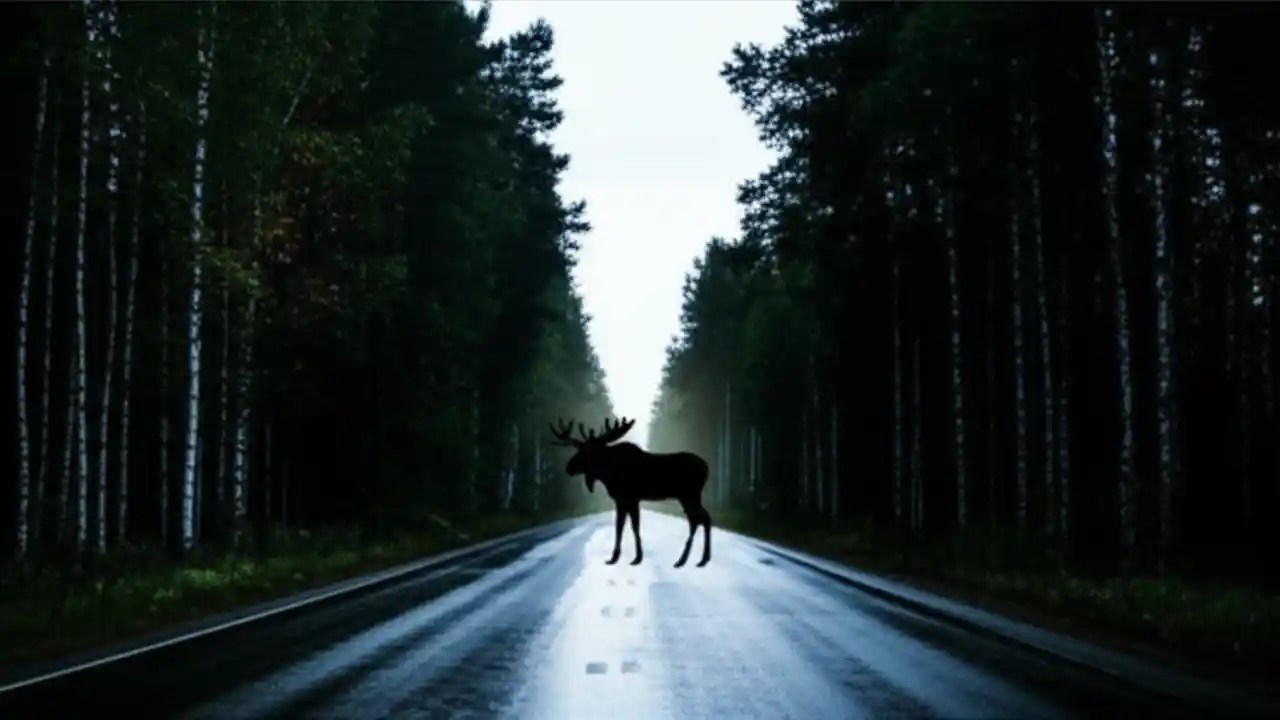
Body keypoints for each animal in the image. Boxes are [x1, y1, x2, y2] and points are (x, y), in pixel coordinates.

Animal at [550, 416, 713, 567]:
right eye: (578, 449)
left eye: (589, 452)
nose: (569, 467)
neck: (608, 473)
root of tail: (707, 467)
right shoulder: (621, 500)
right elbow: (620, 526)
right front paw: (615, 558)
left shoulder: (631, 498)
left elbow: (633, 526)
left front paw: (637, 558)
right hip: (687, 496)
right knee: (698, 520)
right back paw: (687, 560)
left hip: (690, 495)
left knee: (702, 519)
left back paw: (697, 559)